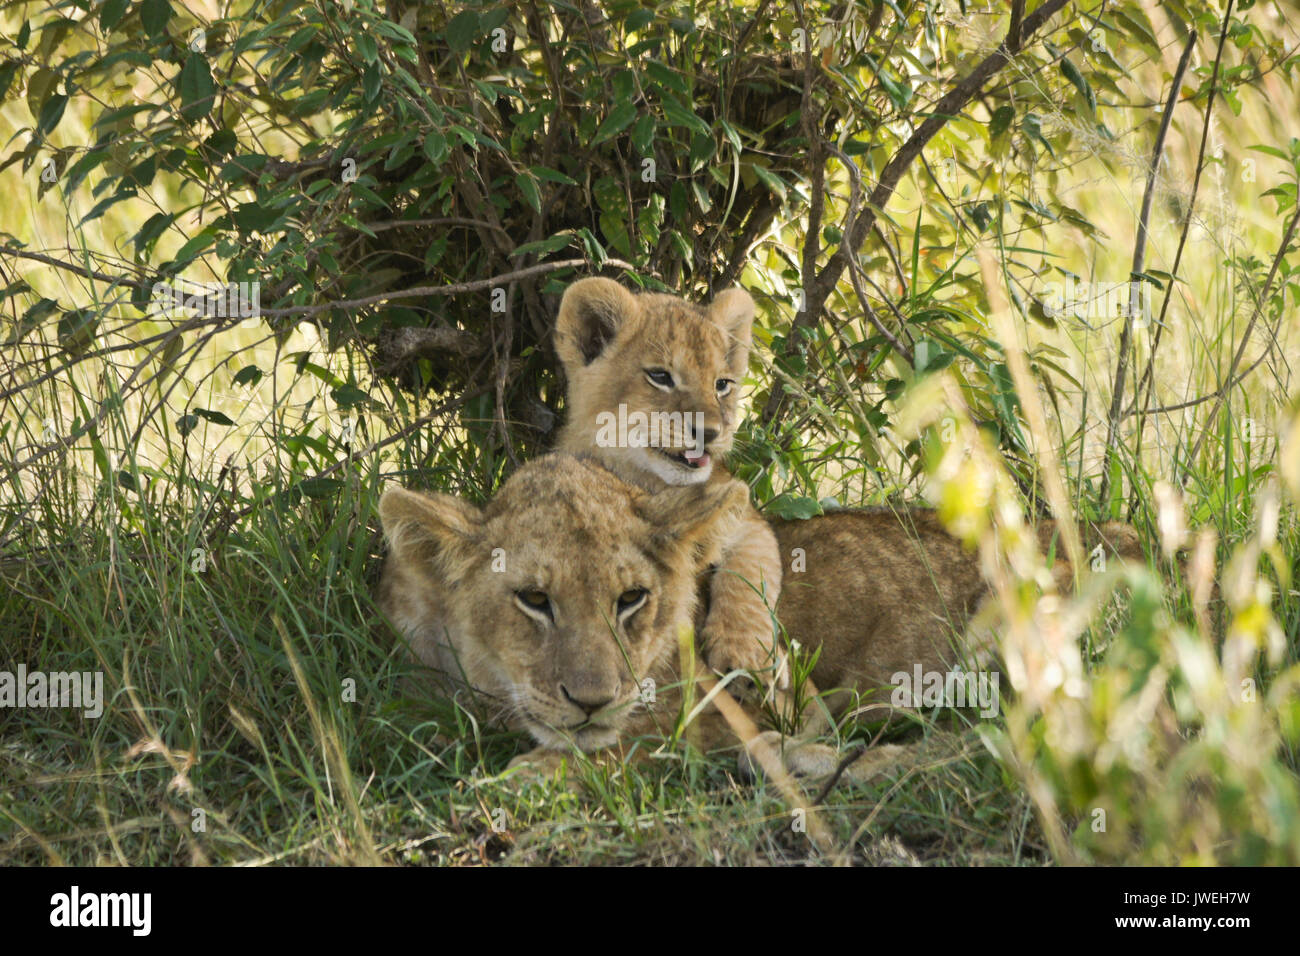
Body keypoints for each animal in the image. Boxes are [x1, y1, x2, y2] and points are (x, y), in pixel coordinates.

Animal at [552, 278, 786, 693]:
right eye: (660, 377)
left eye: (722, 385)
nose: (710, 433)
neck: (656, 482)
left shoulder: (746, 514)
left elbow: (751, 571)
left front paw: (747, 656)